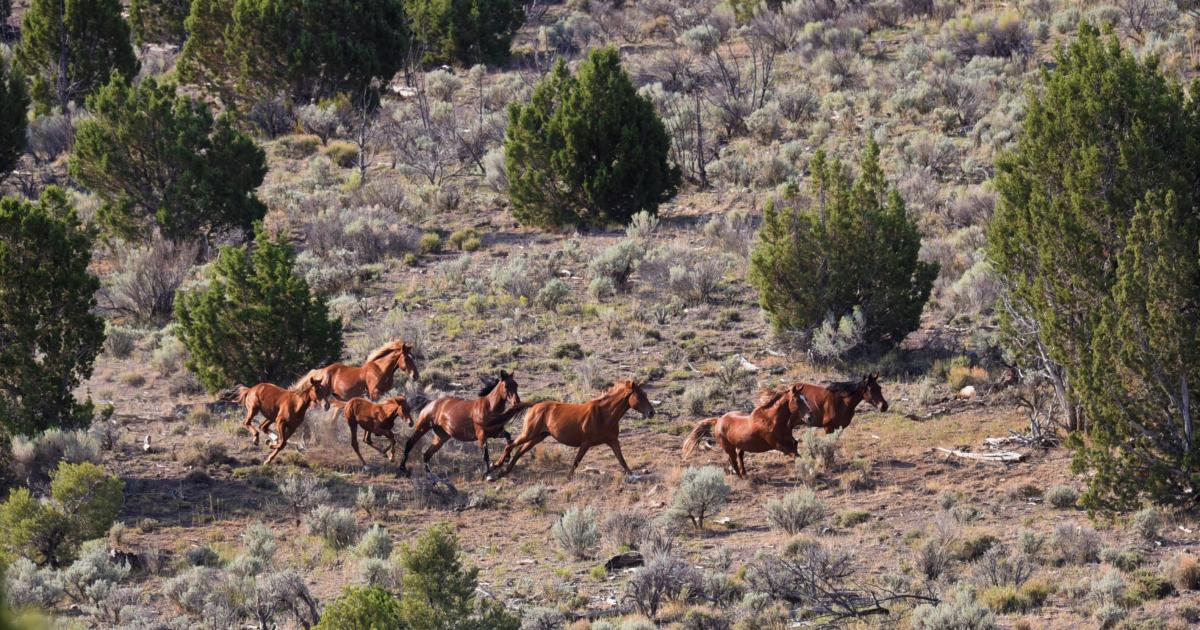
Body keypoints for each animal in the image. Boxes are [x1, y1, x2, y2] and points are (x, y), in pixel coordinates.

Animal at [488, 380, 655, 480]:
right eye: (640, 396)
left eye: (645, 394)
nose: (651, 413)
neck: (604, 415)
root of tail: (535, 405)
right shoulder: (586, 443)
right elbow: (576, 460)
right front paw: (568, 477)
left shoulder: (613, 441)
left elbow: (622, 460)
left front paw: (633, 476)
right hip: (529, 434)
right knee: (511, 445)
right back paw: (496, 465)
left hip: (537, 437)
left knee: (519, 451)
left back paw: (504, 471)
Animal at [681, 384, 810, 478]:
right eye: (797, 400)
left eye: (805, 399)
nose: (809, 417)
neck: (771, 420)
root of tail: (718, 420)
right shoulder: (777, 445)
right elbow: (795, 455)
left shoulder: (789, 441)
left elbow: (796, 448)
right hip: (729, 448)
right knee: (733, 460)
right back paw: (740, 477)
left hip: (740, 446)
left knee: (739, 457)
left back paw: (744, 474)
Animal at [760, 373, 889, 433]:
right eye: (871, 389)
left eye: (880, 388)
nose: (884, 406)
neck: (842, 403)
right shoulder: (828, 428)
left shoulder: (839, 428)